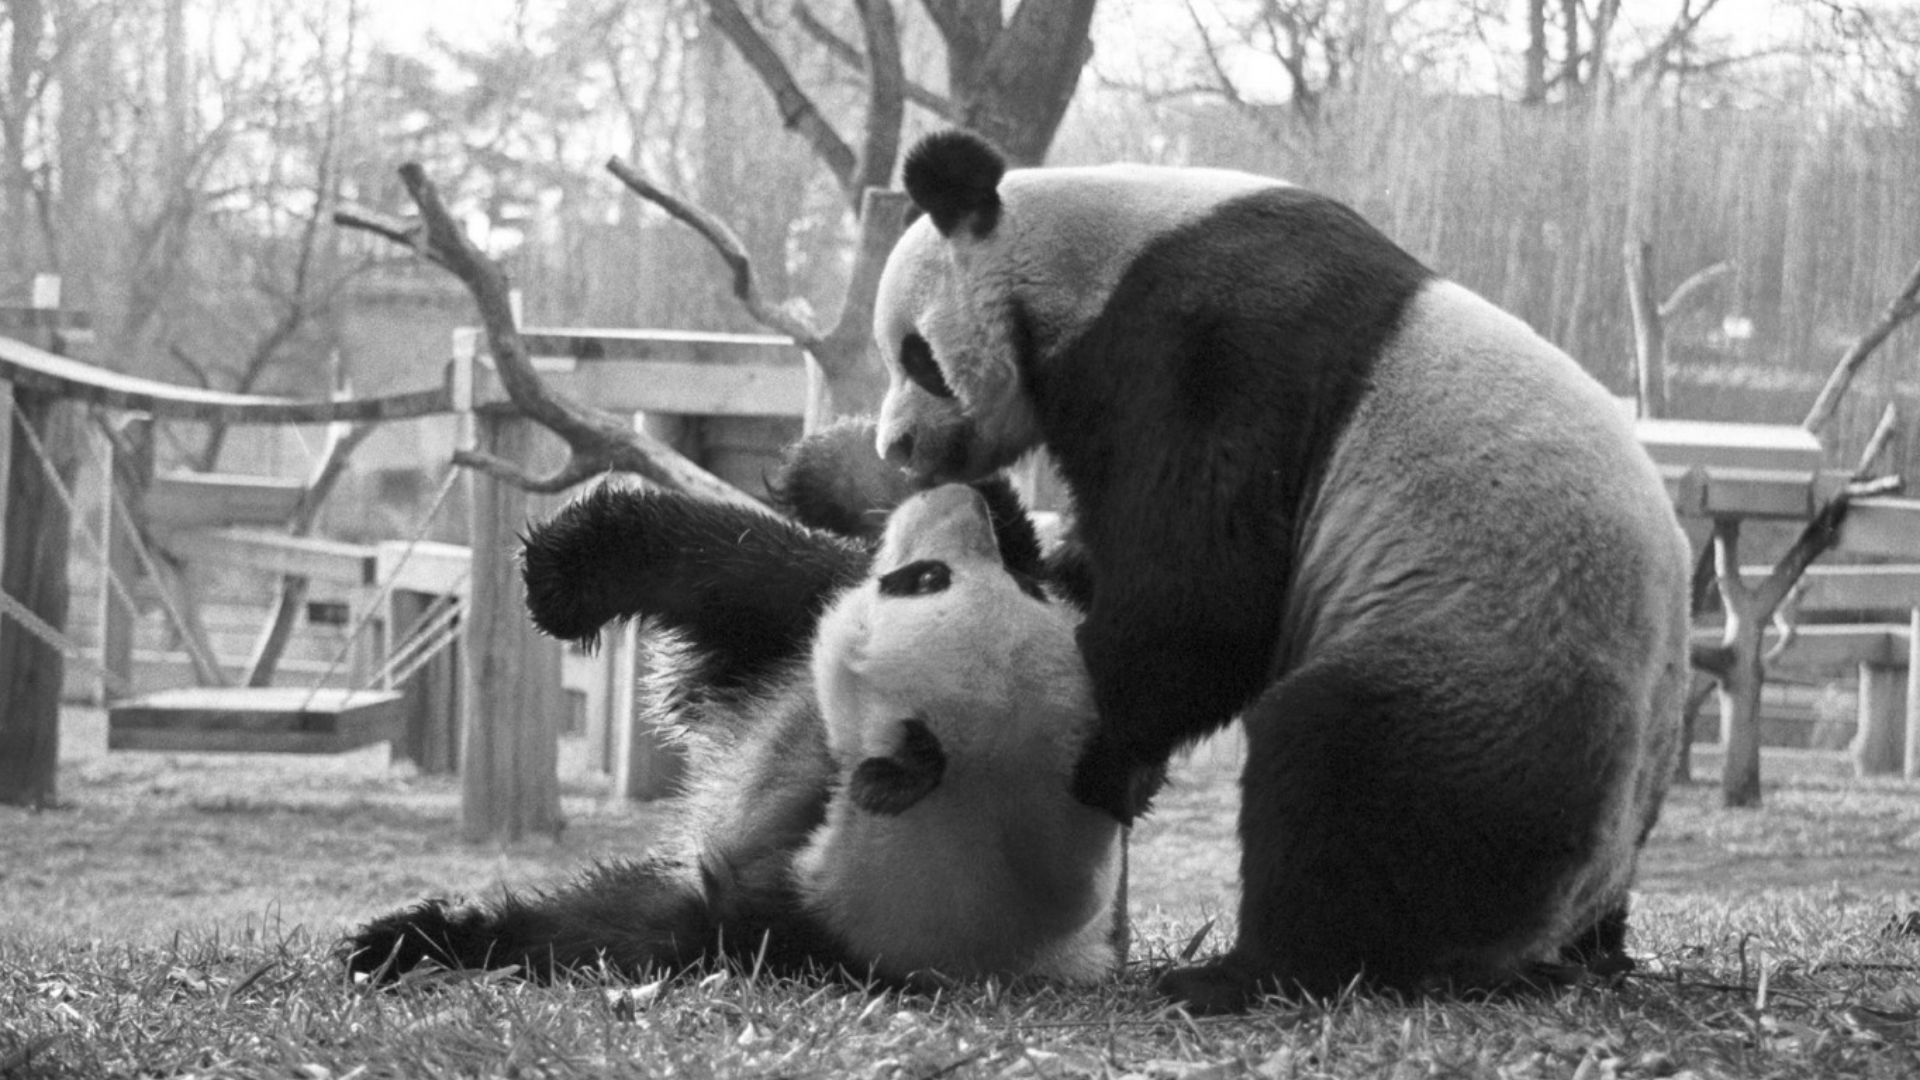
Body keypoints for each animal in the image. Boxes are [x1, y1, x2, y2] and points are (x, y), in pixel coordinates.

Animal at [344, 436, 1122, 989]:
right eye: (1018, 584)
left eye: (926, 580)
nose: (968, 512)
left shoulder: (797, 921)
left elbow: (624, 928)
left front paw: (420, 941)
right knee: (749, 567)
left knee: (737, 569)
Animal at [871, 130, 1693, 1013]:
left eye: (916, 358)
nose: (897, 448)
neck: (1093, 255)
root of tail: (1555, 917)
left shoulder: (1210, 346)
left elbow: (1206, 592)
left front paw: (1103, 751)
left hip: (1480, 679)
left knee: (1345, 789)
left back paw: (1241, 974)